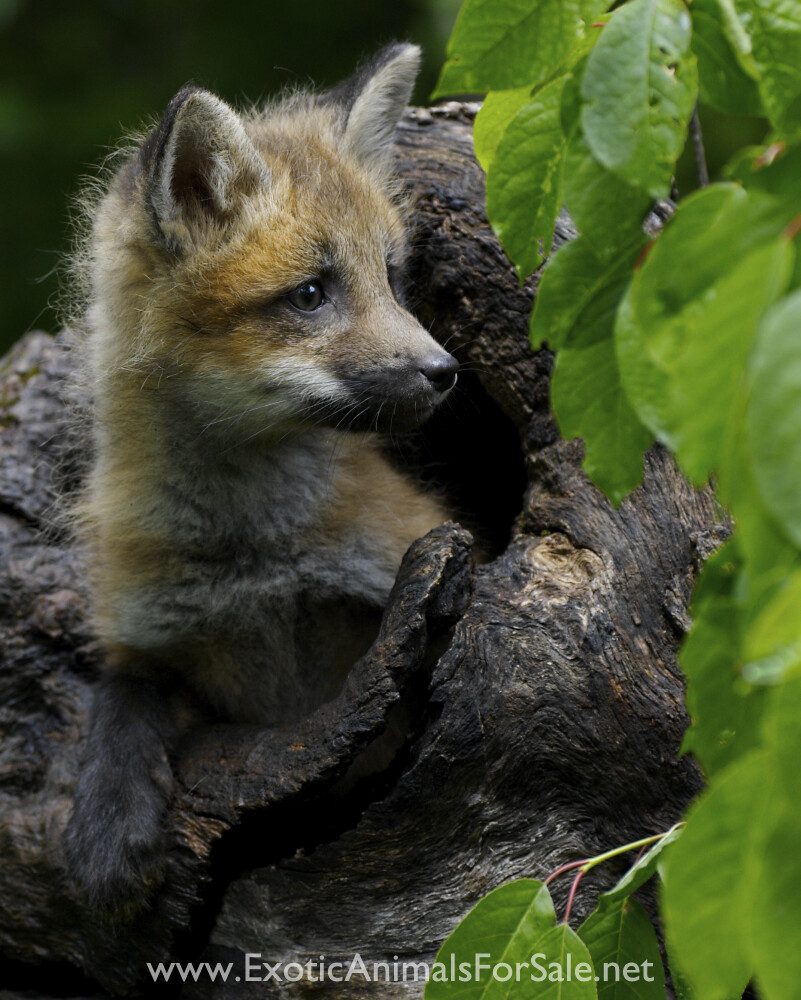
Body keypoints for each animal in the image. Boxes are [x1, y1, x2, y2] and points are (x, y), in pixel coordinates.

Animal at [61, 43, 460, 912]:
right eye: (310, 294)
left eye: (392, 280)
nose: (445, 372)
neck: (254, 561)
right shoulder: (148, 632)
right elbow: (118, 697)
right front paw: (106, 825)